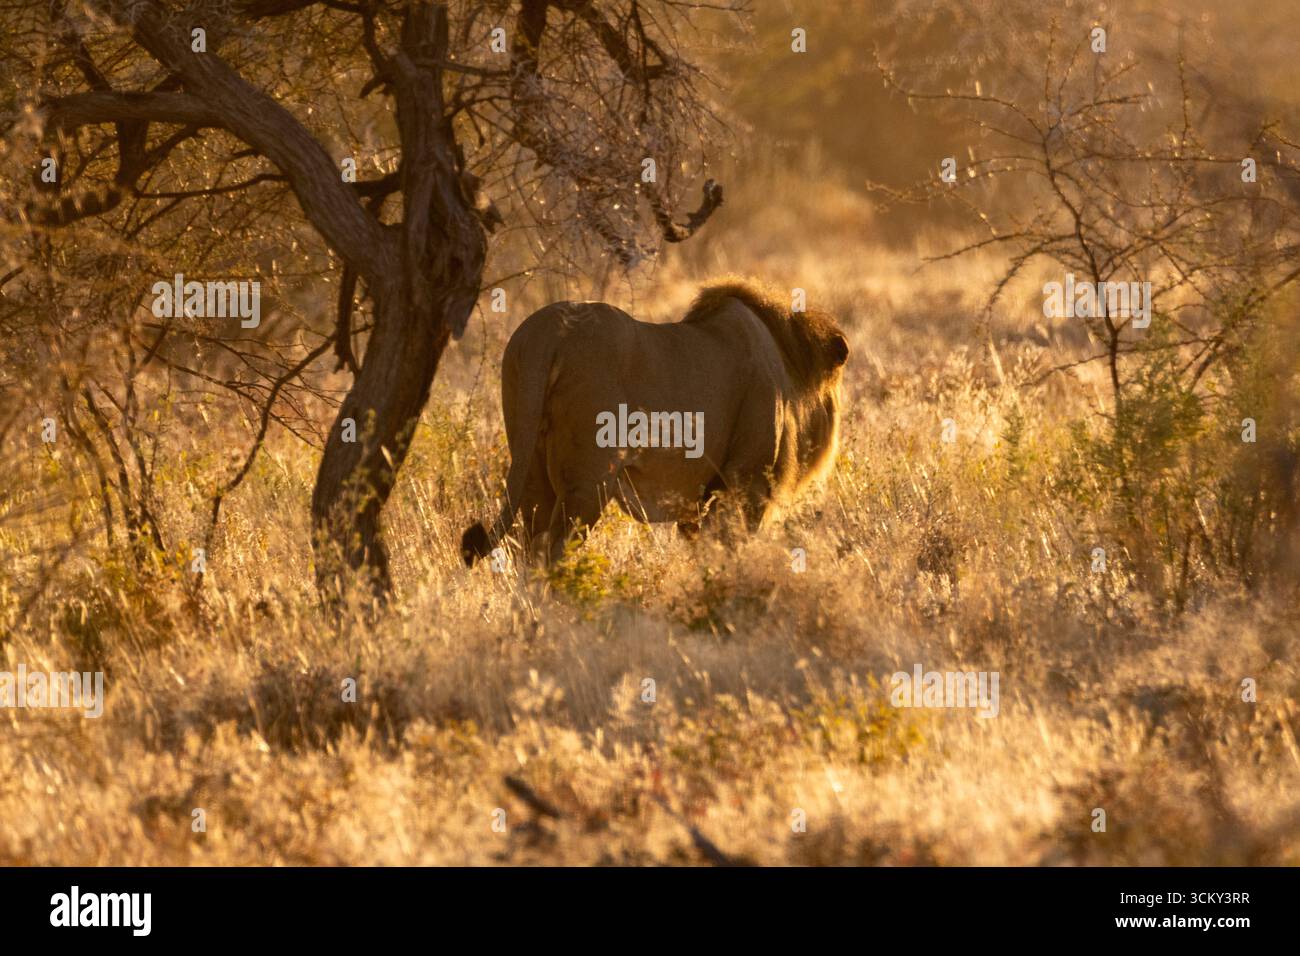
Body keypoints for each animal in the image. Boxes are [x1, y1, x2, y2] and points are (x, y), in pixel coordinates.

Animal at [461, 278, 849, 566]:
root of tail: (549, 330)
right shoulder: (744, 481)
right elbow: (728, 550)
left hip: (532, 468)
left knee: (530, 547)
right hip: (589, 481)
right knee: (552, 553)